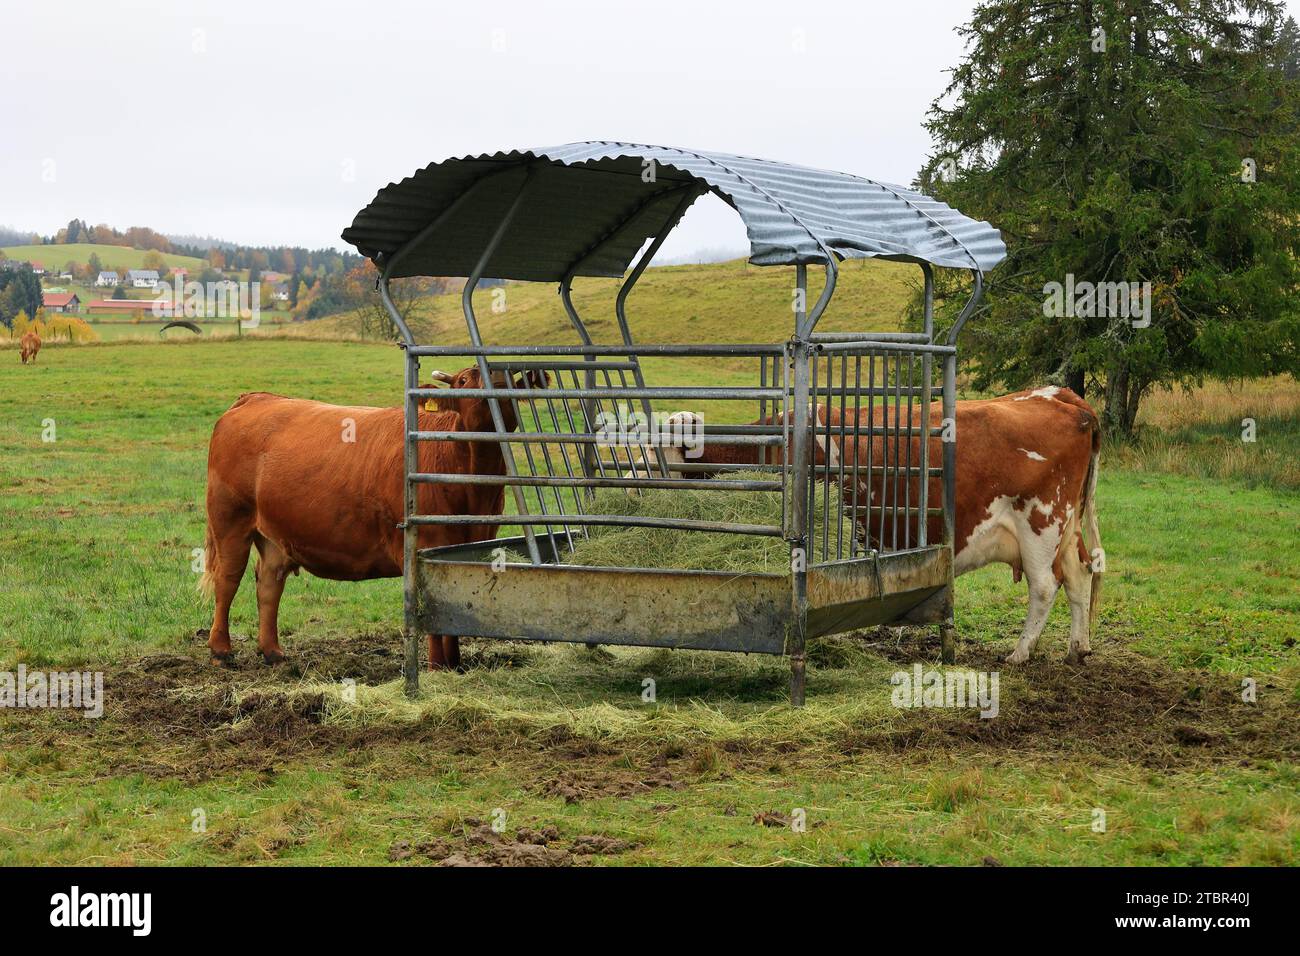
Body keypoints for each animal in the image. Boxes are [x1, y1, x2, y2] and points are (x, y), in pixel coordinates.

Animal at [200, 366, 544, 669]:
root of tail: (257, 398)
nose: (495, 381)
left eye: (509, 380)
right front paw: (436, 666)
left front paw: (455, 664)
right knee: (228, 580)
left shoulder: (471, 543)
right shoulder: (422, 546)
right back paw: (220, 650)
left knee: (270, 583)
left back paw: (273, 652)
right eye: (463, 380)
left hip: (273, 534)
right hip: (230, 521)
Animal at [646, 387, 1103, 664]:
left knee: (1045, 586)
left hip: (1040, 521)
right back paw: (1077, 648)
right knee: (1080, 575)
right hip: (1066, 528)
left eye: (662, 459)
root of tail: (1060, 397)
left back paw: (1019, 654)